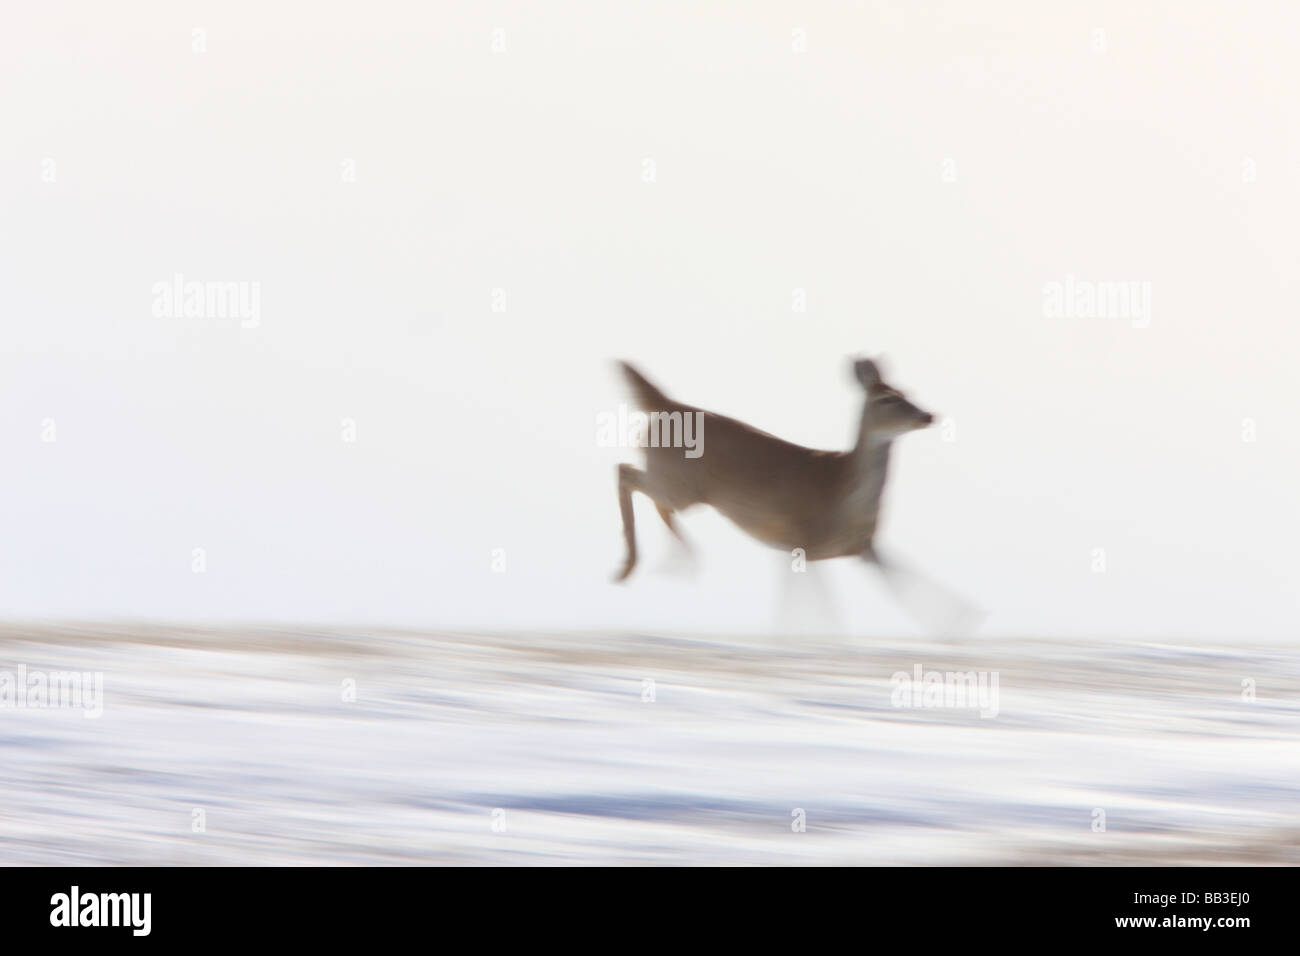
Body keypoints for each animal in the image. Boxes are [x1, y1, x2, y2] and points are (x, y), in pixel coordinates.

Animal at [612, 357, 978, 633]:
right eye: (886, 399)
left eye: (908, 392)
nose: (928, 415)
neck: (843, 492)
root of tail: (665, 405)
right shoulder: (799, 539)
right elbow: (813, 607)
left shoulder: (864, 546)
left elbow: (907, 580)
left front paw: (959, 622)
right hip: (681, 485)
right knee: (625, 472)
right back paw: (630, 567)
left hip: (678, 486)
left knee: (651, 496)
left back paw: (679, 560)